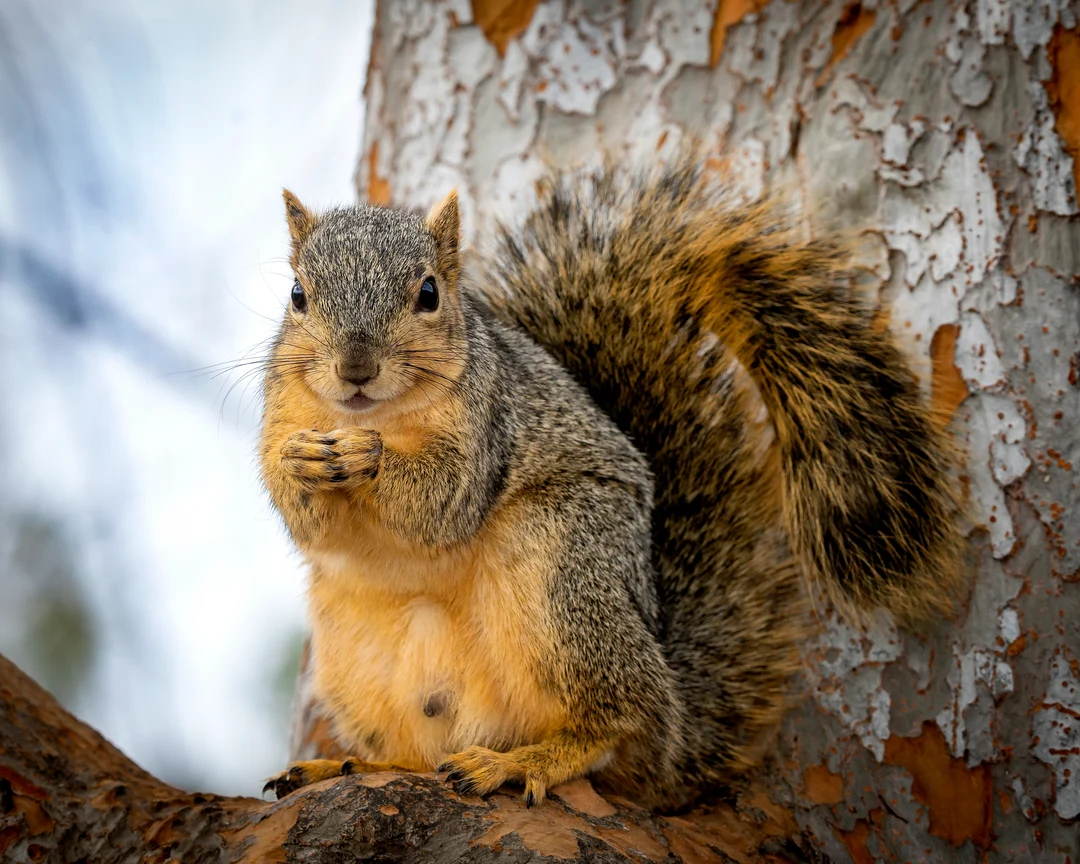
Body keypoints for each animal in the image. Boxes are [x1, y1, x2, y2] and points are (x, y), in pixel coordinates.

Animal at [258, 151, 961, 811]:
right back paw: (350, 765)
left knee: (622, 722)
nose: (355, 369)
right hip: (353, 655)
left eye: (428, 294)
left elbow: (442, 502)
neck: (369, 415)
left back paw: (522, 762)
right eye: (296, 295)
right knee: (421, 757)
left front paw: (368, 456)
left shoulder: (488, 427)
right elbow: (305, 519)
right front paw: (300, 463)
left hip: (560, 567)